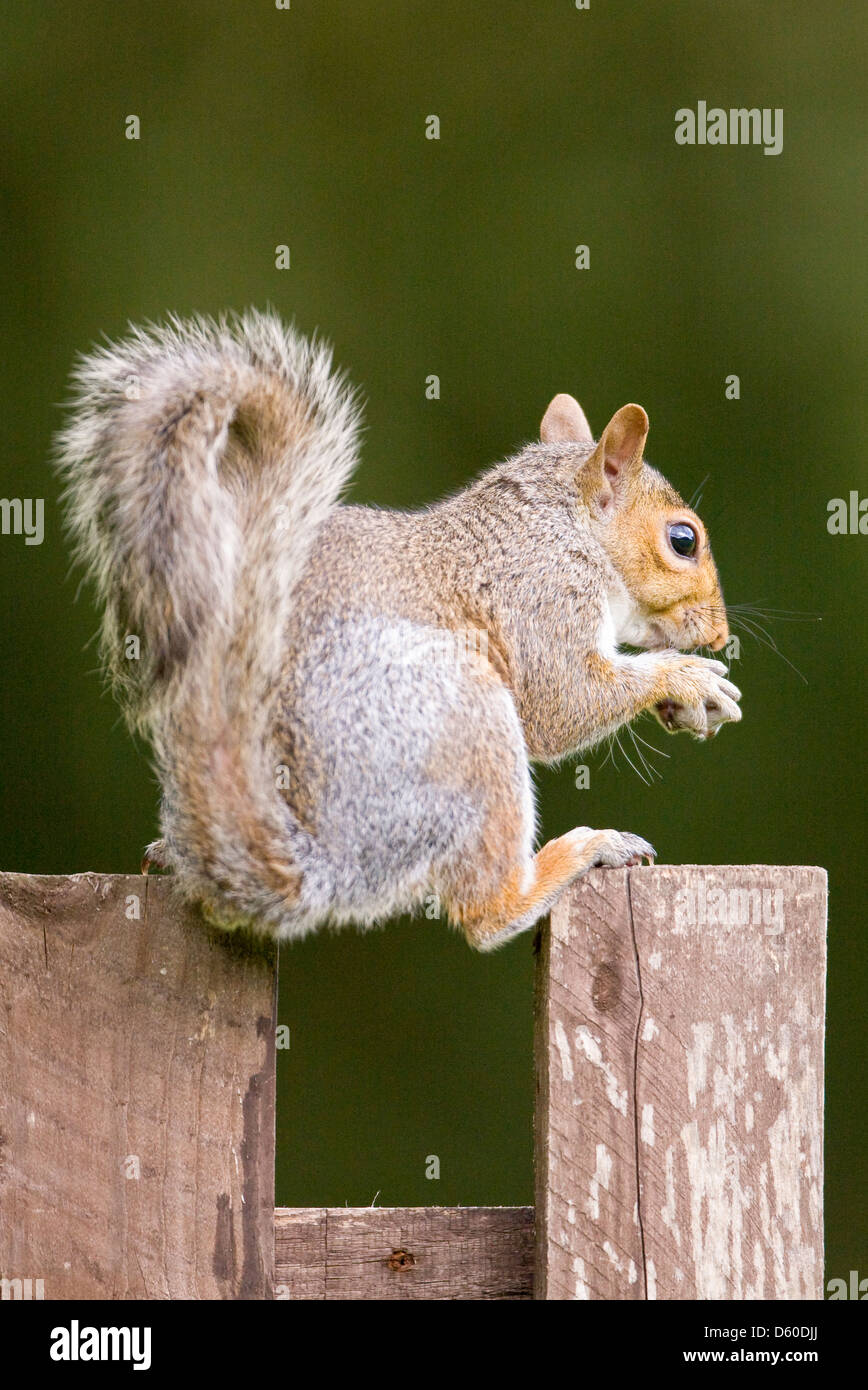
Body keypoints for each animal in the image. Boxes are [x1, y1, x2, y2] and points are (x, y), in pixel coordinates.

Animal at [56, 310, 741, 952]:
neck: (561, 524)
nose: (716, 636)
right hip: (460, 717)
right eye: (683, 540)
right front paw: (687, 679)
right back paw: (578, 854)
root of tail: (326, 865)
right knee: (484, 911)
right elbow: (562, 702)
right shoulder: (541, 597)